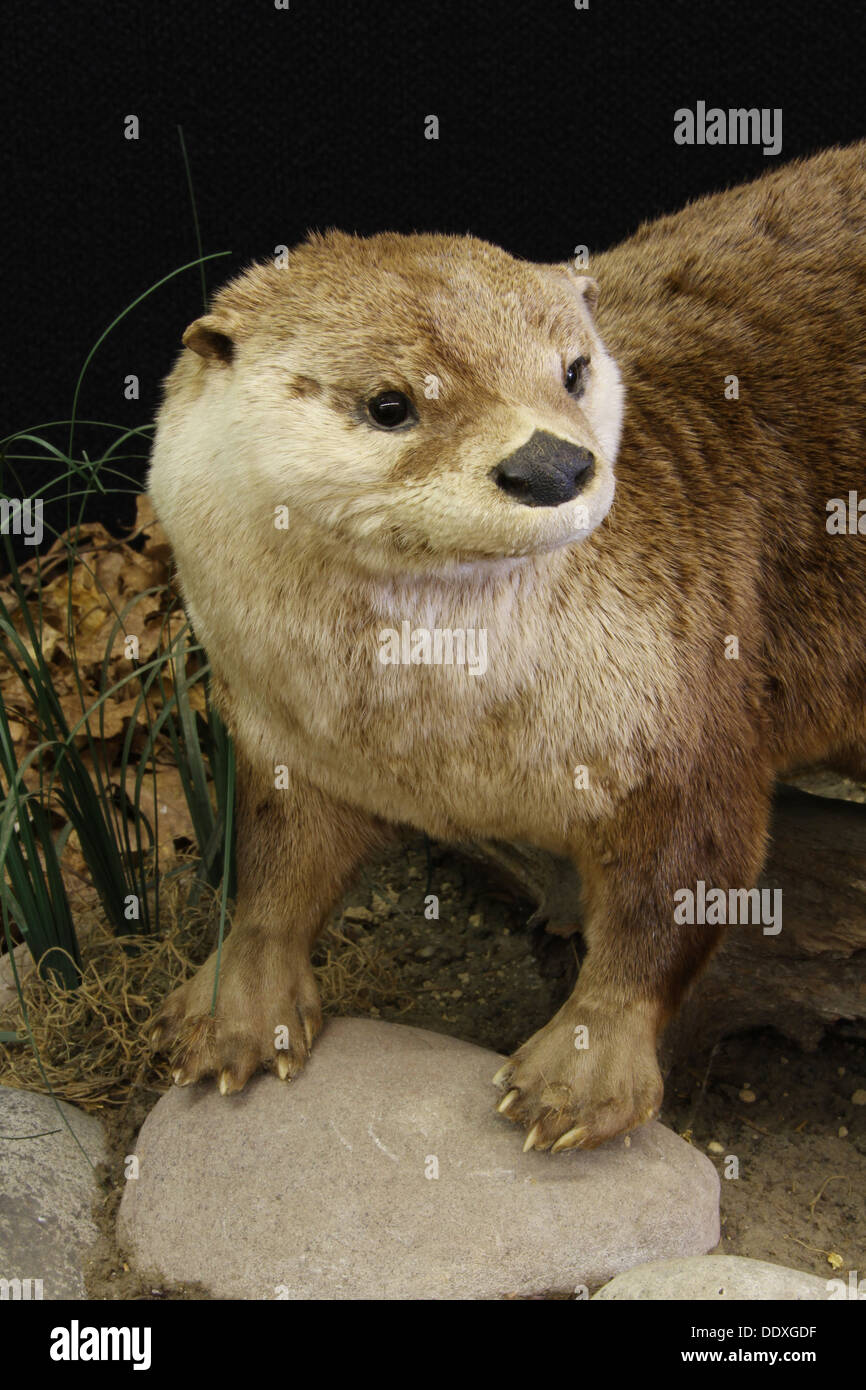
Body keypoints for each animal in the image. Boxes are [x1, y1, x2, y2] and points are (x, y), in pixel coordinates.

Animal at [147, 142, 866, 1153]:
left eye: (572, 371)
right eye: (390, 405)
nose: (553, 463)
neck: (436, 738)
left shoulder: (685, 726)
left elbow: (680, 890)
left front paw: (582, 1071)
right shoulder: (287, 733)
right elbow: (273, 859)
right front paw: (237, 1004)